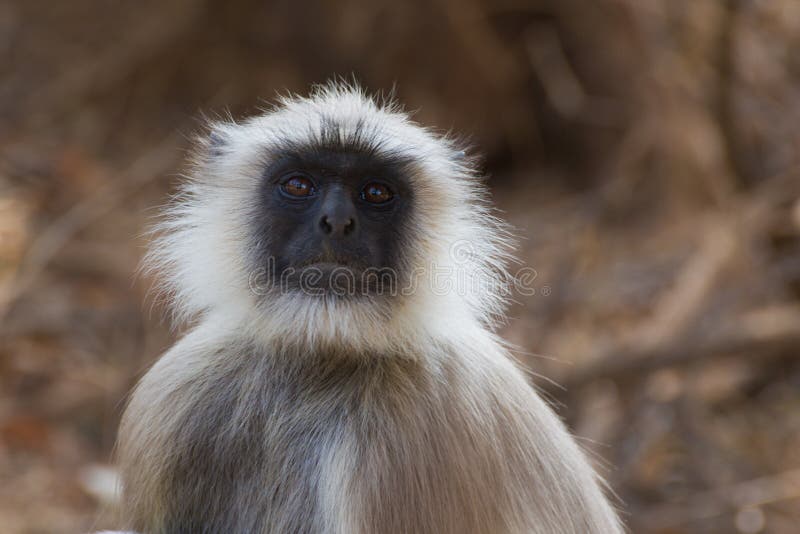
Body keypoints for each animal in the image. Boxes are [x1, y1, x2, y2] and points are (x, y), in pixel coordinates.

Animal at [116, 82, 624, 534]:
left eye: (376, 193)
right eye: (298, 185)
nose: (337, 222)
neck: (319, 363)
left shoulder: (406, 442)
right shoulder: (175, 391)